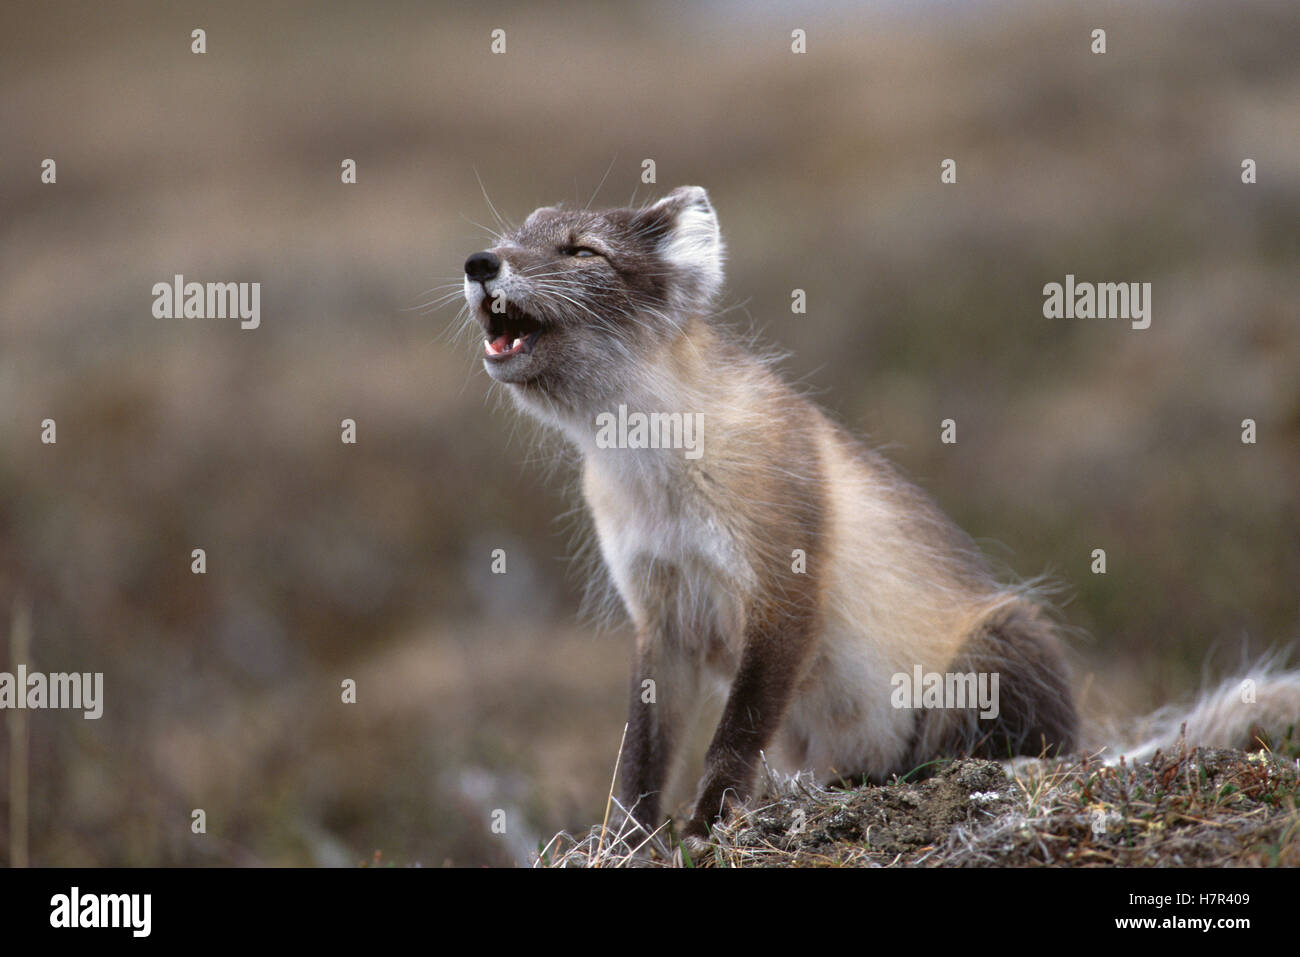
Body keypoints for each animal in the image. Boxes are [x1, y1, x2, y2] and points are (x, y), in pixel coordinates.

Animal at [459, 185, 1300, 850]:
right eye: (518, 232)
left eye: (582, 250)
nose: (480, 262)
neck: (653, 467)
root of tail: (1092, 752)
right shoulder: (661, 617)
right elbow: (640, 755)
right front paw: (627, 841)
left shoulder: (784, 589)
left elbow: (732, 739)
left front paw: (703, 829)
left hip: (994, 649)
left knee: (993, 751)